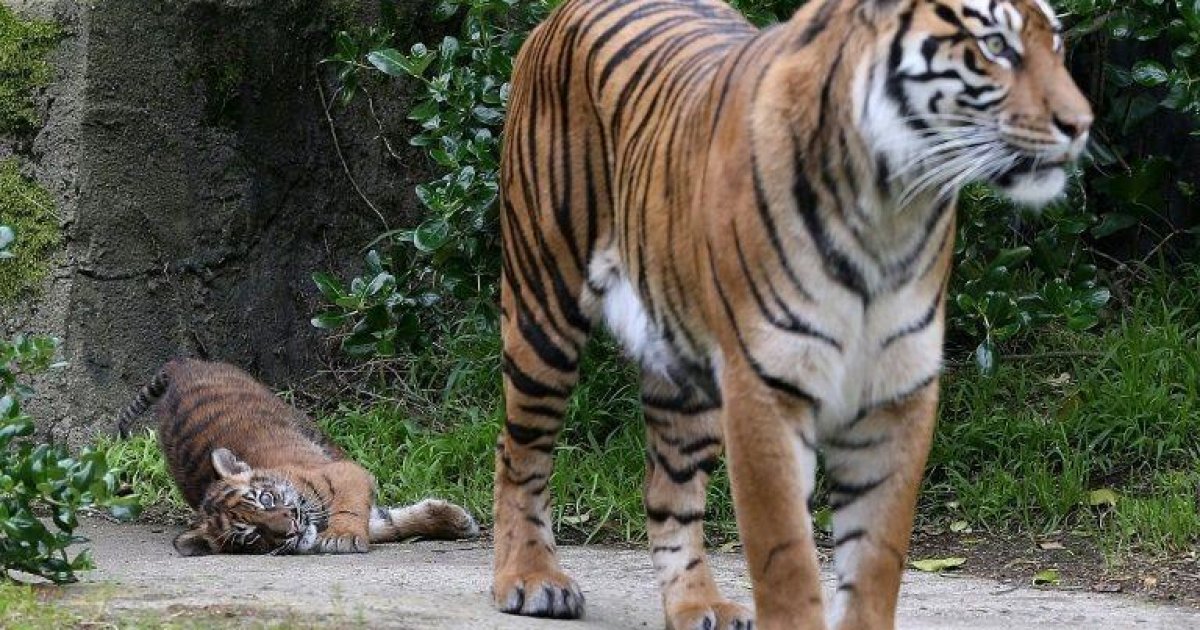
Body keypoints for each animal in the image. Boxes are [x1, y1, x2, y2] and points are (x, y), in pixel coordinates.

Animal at [116, 358, 480, 556]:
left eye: (264, 499)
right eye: (250, 535)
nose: (289, 528)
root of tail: (181, 366)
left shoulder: (346, 474)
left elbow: (352, 508)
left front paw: (342, 537)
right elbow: (389, 522)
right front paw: (453, 518)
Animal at [493, 0, 1091, 628]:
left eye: (1056, 44)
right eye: (996, 46)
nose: (1081, 124)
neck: (889, 209)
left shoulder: (897, 394)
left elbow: (876, 556)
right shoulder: (767, 386)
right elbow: (786, 554)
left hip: (685, 376)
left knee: (666, 490)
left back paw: (697, 603)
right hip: (543, 308)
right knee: (519, 452)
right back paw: (531, 579)